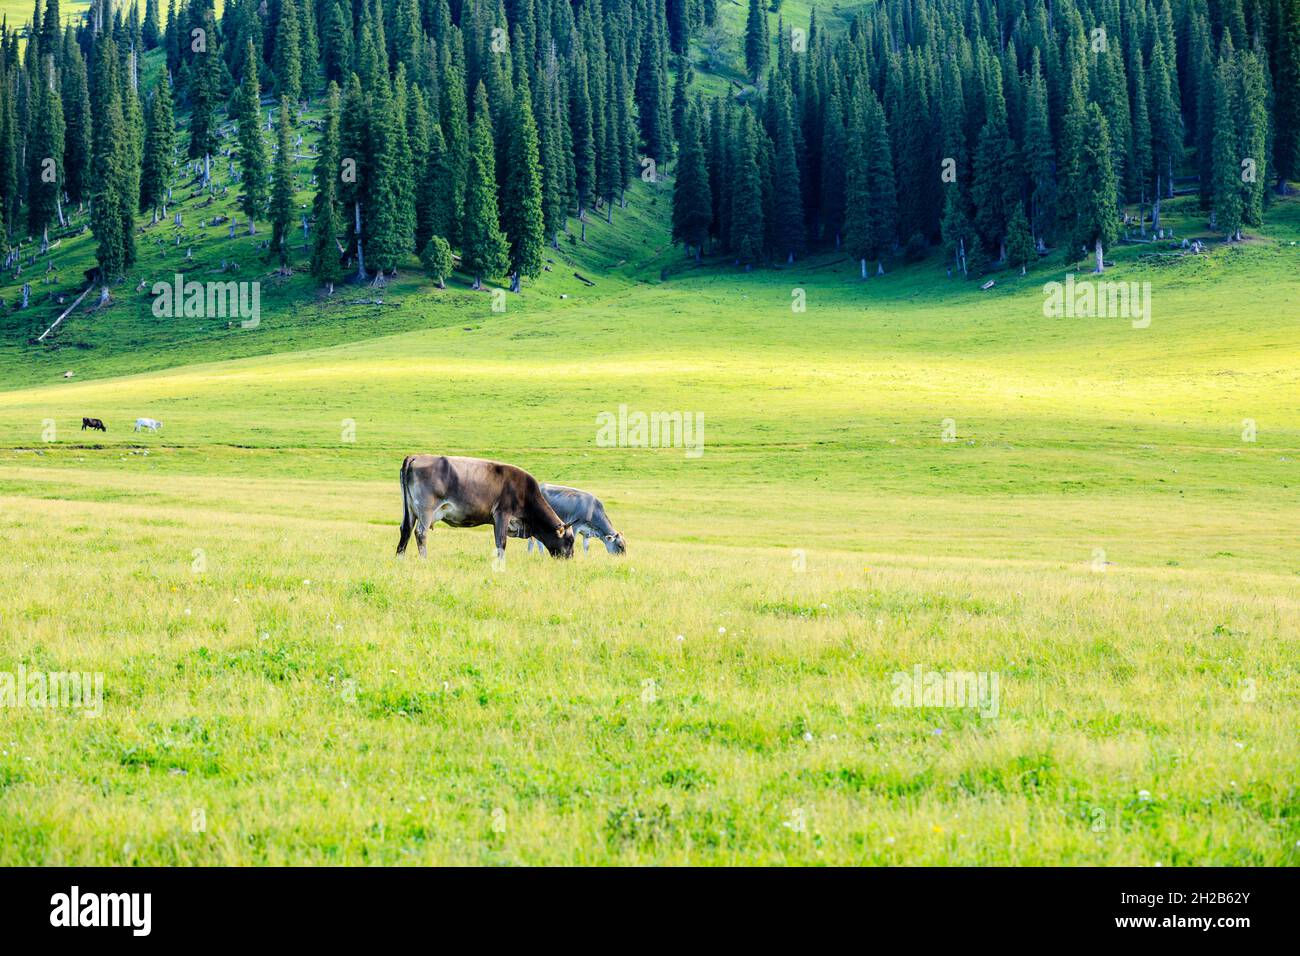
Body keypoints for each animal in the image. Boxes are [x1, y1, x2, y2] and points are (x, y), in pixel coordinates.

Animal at [397, 455, 576, 563]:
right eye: (570, 540)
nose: (571, 558)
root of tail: (417, 456)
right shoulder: (502, 514)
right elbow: (501, 542)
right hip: (426, 511)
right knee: (420, 533)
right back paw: (424, 560)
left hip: (410, 511)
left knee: (405, 530)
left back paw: (400, 558)